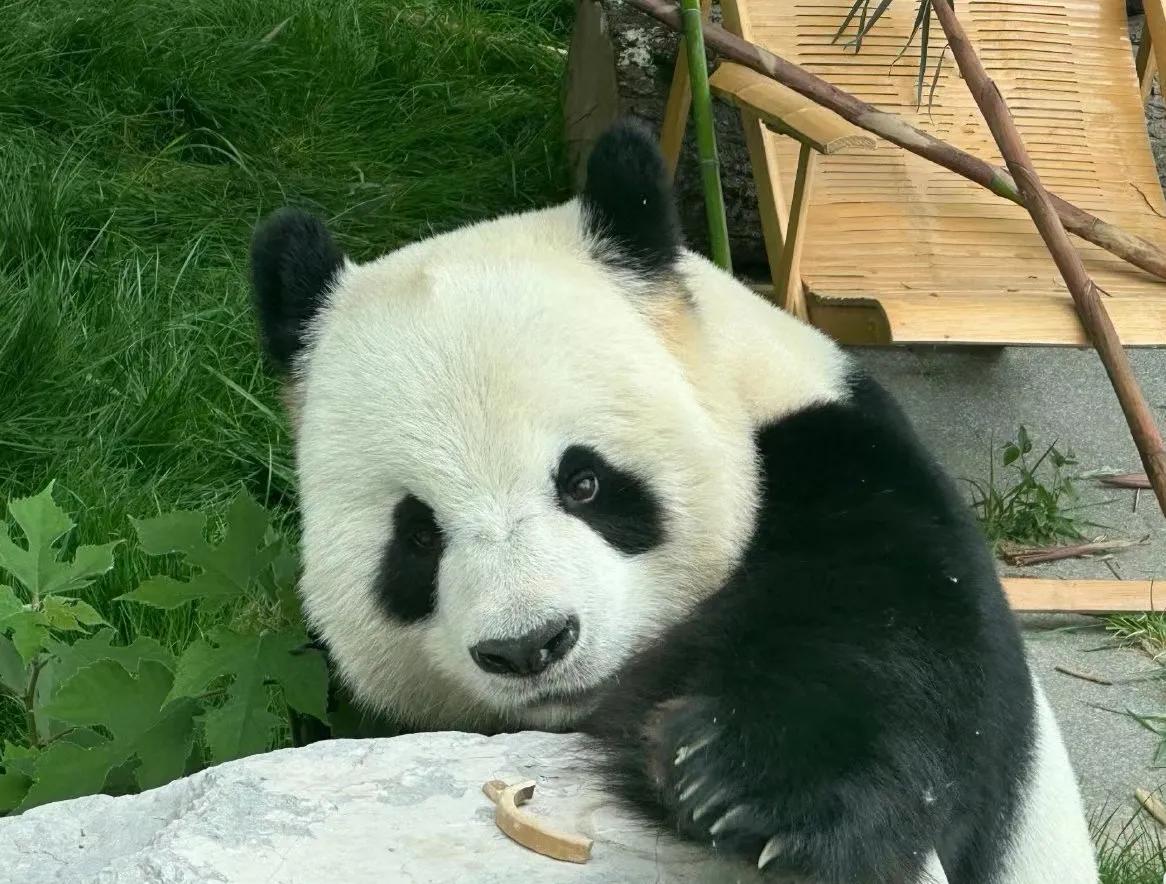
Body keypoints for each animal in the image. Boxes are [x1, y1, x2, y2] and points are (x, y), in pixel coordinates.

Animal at [248, 119, 1098, 883]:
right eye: (418, 536)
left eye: (585, 482)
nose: (530, 645)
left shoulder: (830, 453)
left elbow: (894, 619)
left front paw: (753, 788)